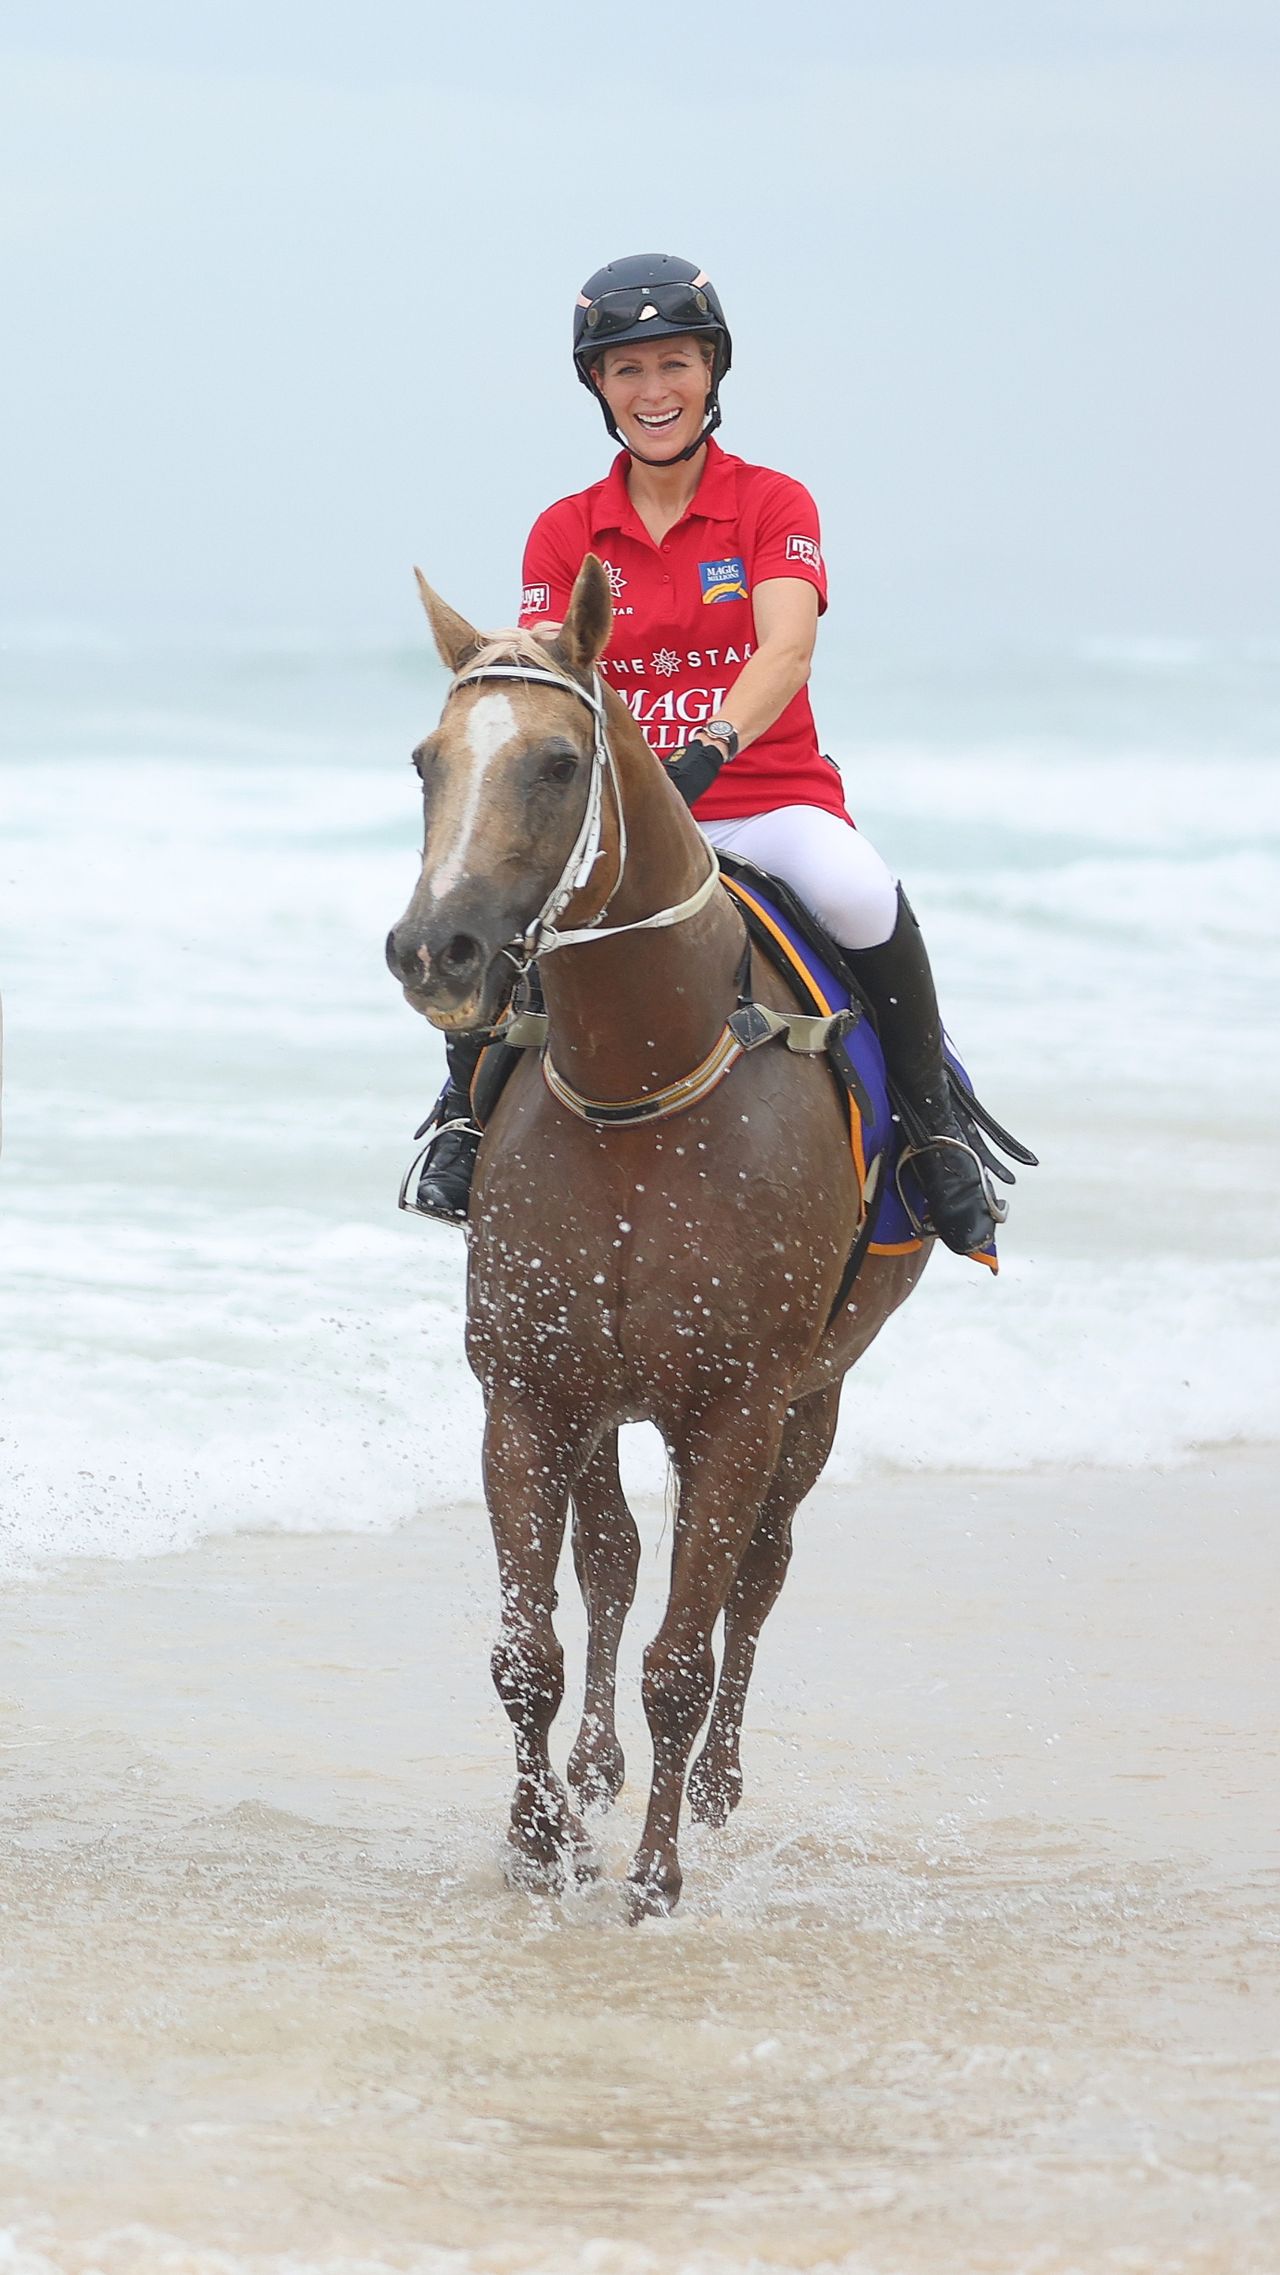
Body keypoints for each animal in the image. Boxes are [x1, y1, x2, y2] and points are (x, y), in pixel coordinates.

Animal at [385, 556, 931, 1916]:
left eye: (554, 764)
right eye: (426, 761)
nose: (434, 950)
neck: (639, 1078)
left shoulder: (737, 1408)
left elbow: (684, 1651)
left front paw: (652, 1879)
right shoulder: (529, 1393)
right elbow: (528, 1646)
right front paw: (543, 1846)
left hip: (810, 1398)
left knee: (757, 1575)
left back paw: (717, 1791)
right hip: (603, 1397)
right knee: (616, 1560)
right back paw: (591, 1777)